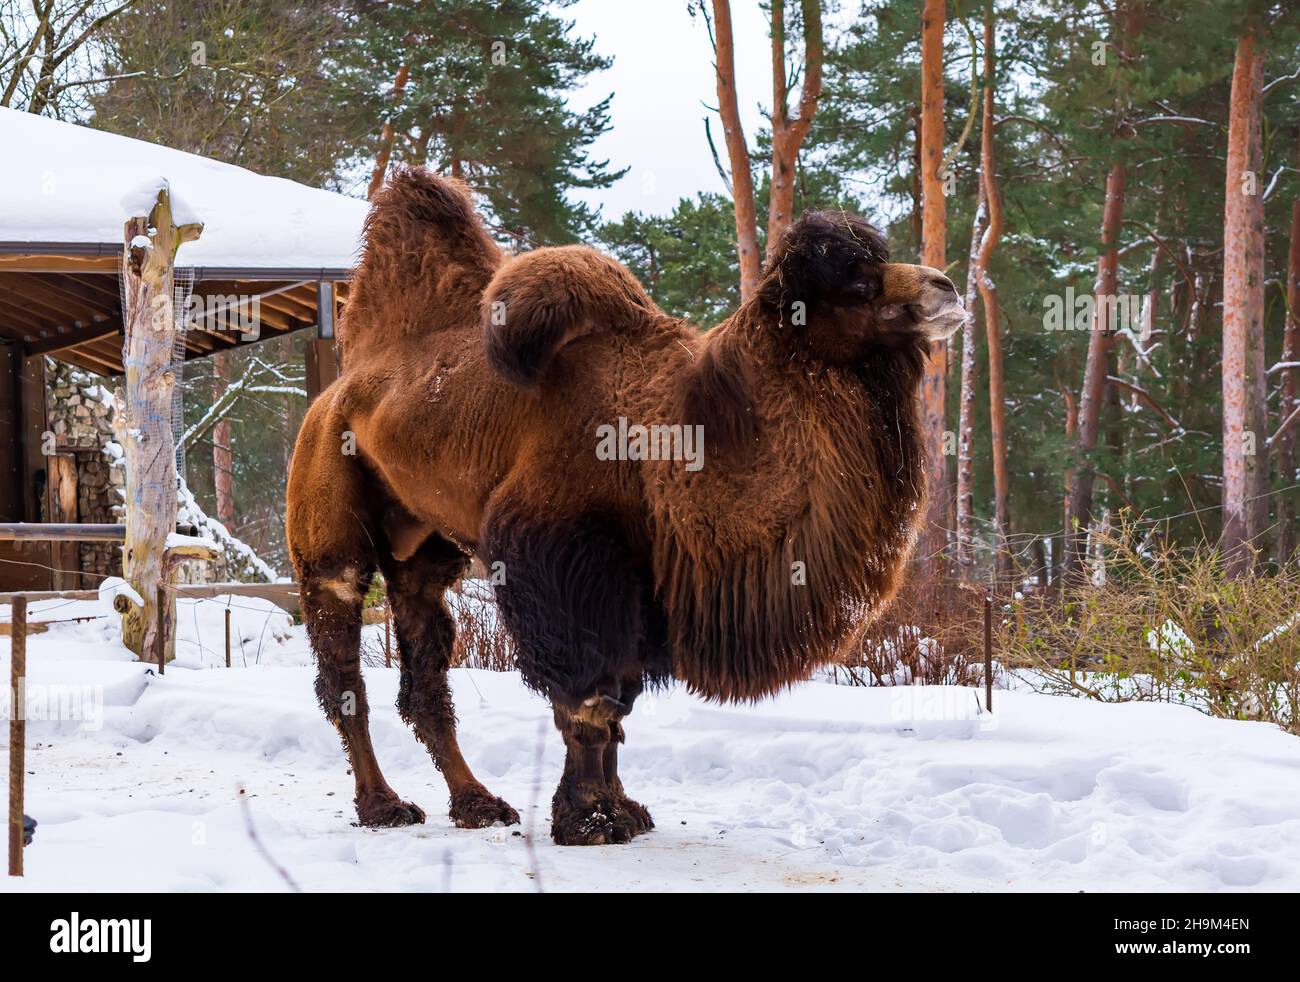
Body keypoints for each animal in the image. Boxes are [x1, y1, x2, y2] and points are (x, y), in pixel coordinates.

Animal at [286, 168, 963, 844]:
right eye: (857, 282)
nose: (948, 286)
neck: (675, 438)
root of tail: (338, 390)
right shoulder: (562, 559)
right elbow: (589, 699)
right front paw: (589, 819)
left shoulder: (640, 586)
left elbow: (621, 703)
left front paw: (621, 810)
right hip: (327, 519)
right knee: (343, 671)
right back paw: (383, 806)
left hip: (423, 550)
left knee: (425, 674)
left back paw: (477, 803)